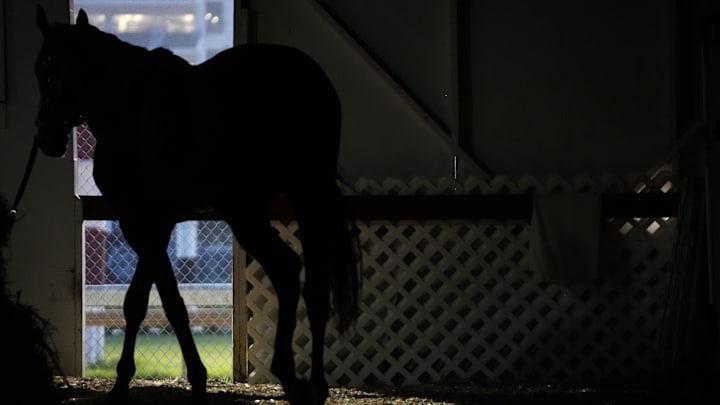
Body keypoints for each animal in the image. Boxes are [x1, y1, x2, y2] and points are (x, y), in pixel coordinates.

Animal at [33, 6, 362, 405]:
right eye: (40, 70)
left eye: (50, 73)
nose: (47, 138)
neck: (131, 110)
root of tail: (311, 78)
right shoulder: (149, 224)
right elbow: (146, 302)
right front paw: (131, 383)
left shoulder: (146, 222)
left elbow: (161, 303)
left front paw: (188, 380)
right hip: (277, 204)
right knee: (302, 279)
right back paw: (304, 381)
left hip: (272, 204)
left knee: (295, 275)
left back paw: (297, 377)